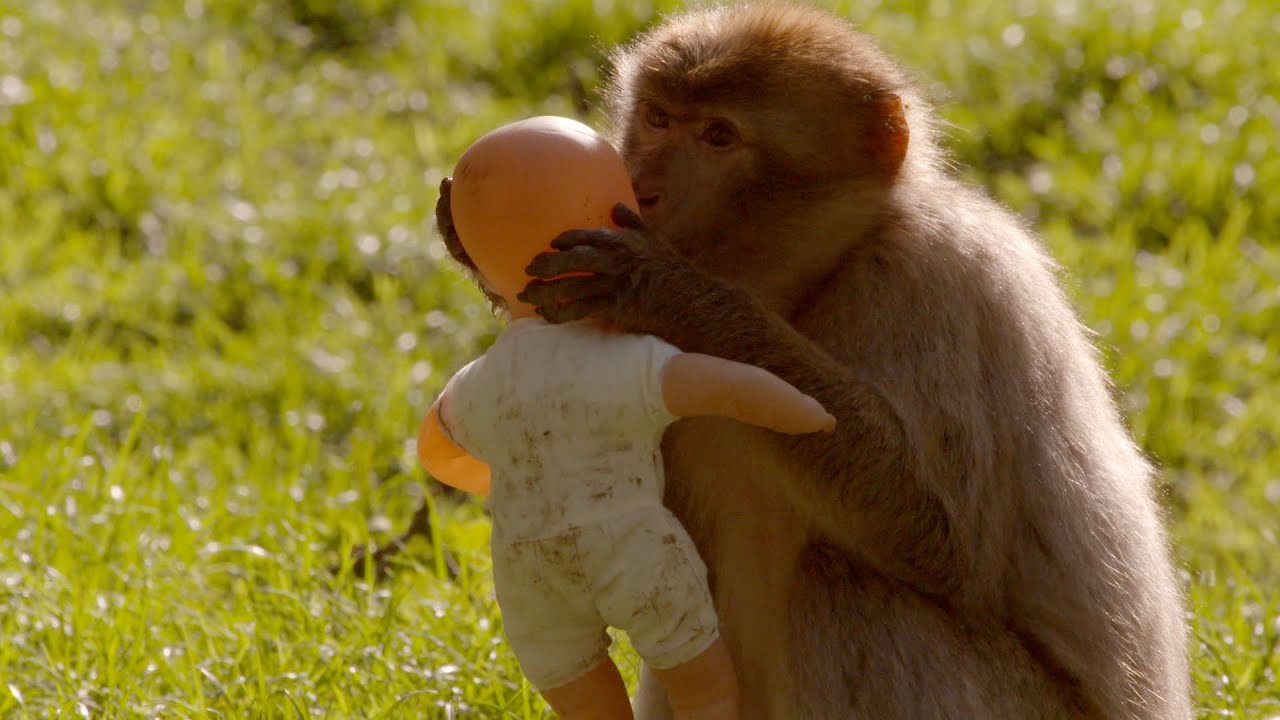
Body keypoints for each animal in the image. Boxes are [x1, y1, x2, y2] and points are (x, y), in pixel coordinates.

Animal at [432, 2, 1192, 718]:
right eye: (657, 117)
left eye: (719, 136)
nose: (641, 184)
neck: (809, 281)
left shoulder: (931, 281)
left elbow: (950, 542)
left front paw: (673, 294)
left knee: (846, 587)